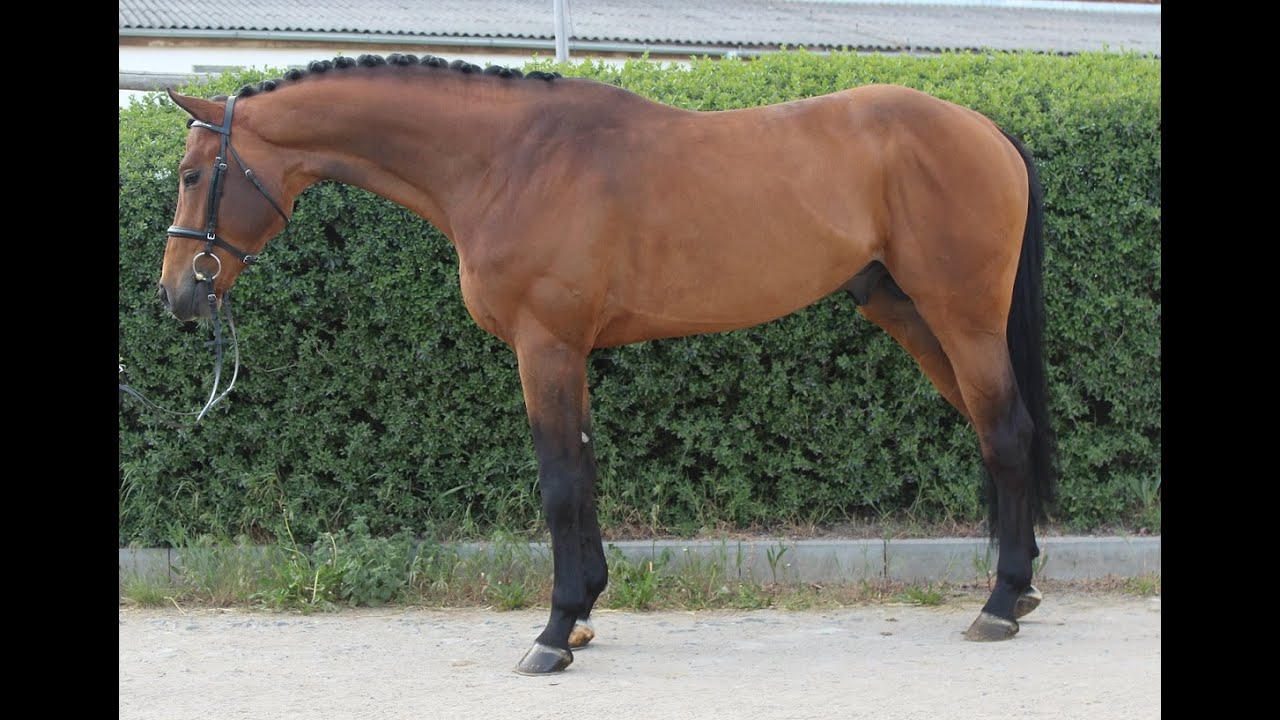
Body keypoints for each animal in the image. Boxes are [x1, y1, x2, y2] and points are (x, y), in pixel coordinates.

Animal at [156, 54, 1056, 675]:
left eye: (195, 174)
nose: (178, 296)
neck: (507, 159)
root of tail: (983, 128)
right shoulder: (570, 355)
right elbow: (584, 477)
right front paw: (584, 611)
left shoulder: (545, 346)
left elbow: (558, 484)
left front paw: (553, 633)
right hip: (907, 311)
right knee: (993, 433)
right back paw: (1022, 588)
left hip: (961, 316)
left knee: (1006, 435)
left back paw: (1000, 604)